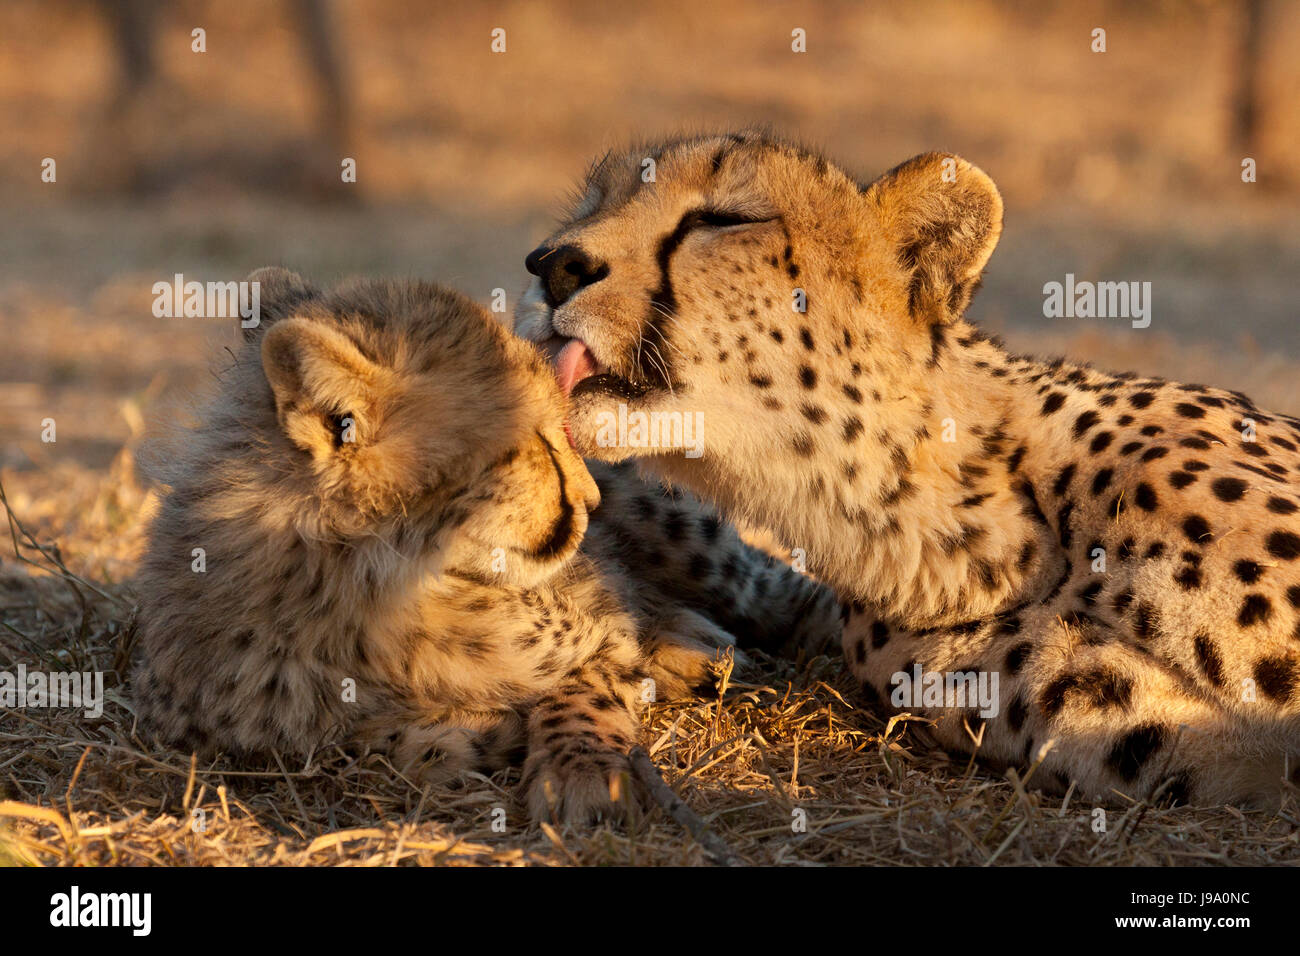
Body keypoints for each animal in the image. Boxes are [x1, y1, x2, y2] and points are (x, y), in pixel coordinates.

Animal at [132, 267, 839, 824]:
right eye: (536, 440)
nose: (592, 499)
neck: (389, 599)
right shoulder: (224, 719)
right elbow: (380, 744)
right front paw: (475, 732)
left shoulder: (595, 624)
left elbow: (580, 687)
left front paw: (583, 772)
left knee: (784, 590)